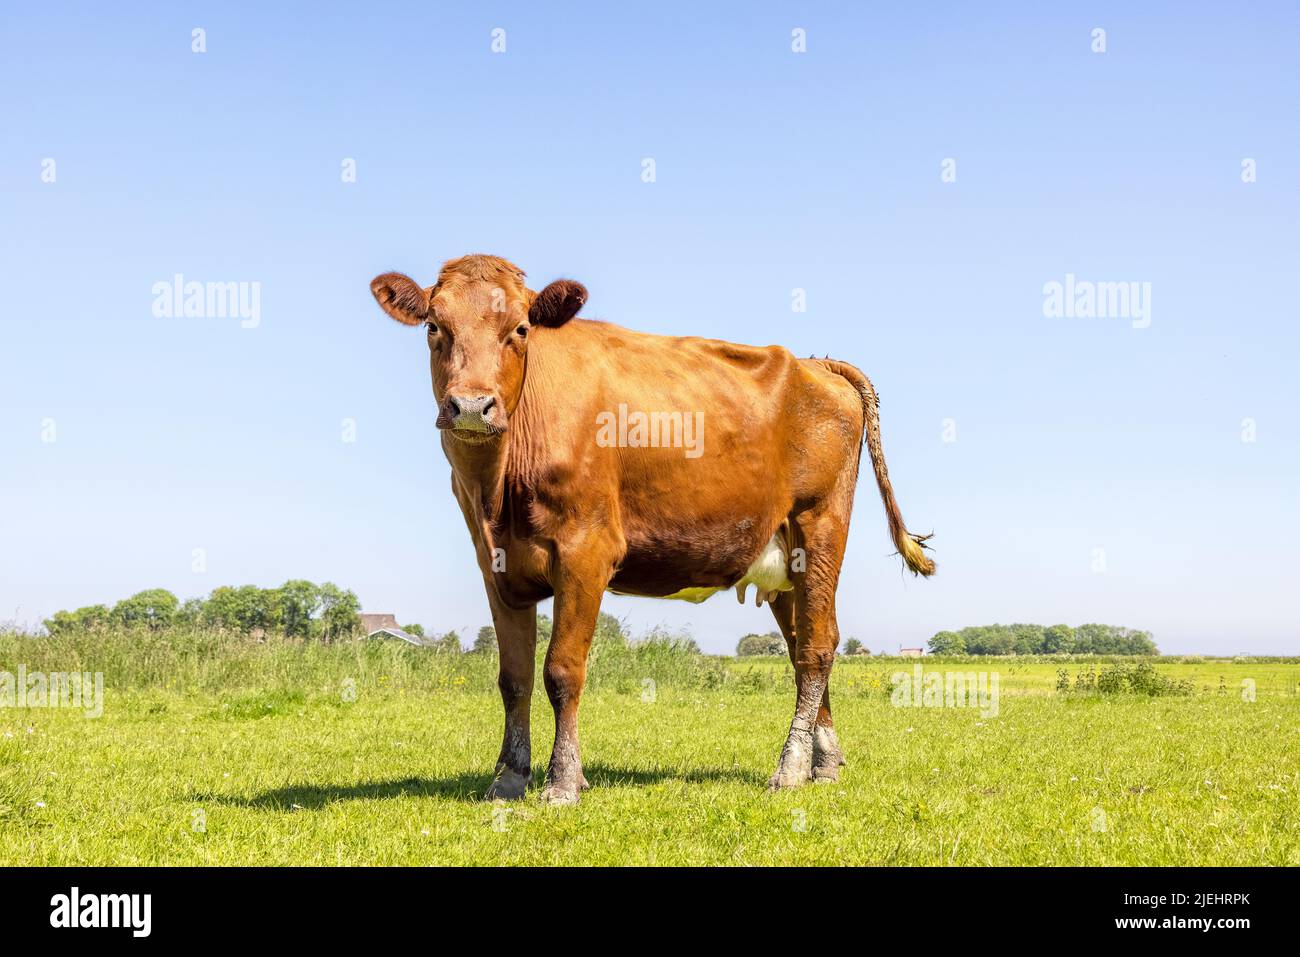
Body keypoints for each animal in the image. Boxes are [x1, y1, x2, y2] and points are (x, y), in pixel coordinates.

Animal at [370, 254, 934, 805]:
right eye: (434, 326)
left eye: (522, 328)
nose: (471, 406)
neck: (498, 490)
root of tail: (816, 363)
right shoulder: (497, 567)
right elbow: (514, 678)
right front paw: (508, 779)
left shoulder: (585, 552)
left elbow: (561, 670)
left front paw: (563, 781)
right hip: (782, 559)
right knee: (805, 646)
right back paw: (826, 764)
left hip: (819, 525)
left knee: (817, 649)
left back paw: (791, 768)